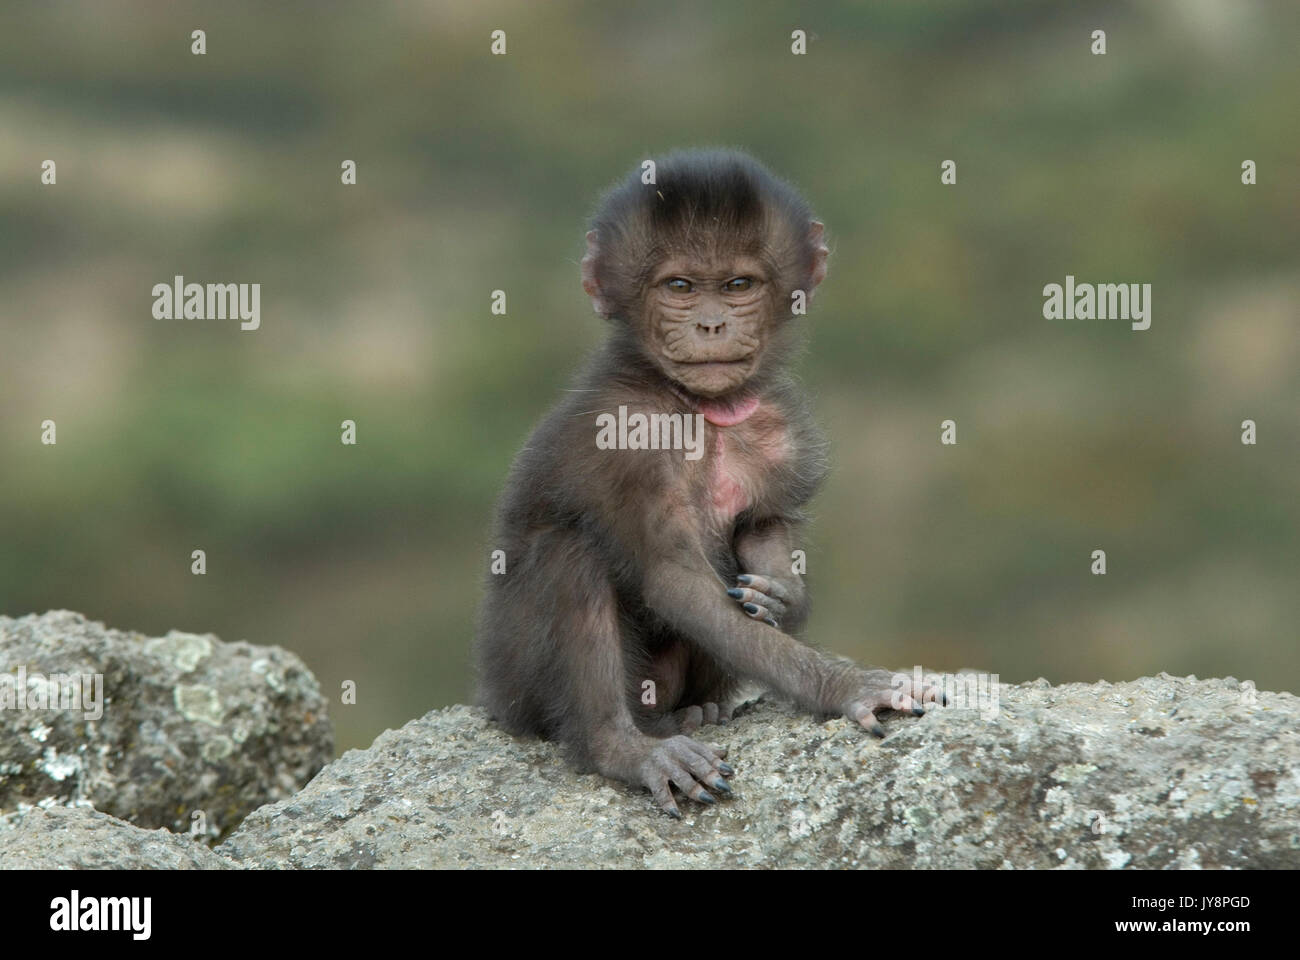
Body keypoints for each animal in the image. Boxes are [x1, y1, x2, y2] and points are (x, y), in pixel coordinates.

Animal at [475, 149, 939, 817]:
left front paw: (780, 599)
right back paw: (624, 748)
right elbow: (678, 584)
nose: (714, 325)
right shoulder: (623, 436)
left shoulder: (778, 429)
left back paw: (698, 712)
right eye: (680, 287)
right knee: (570, 552)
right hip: (517, 686)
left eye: (738, 286)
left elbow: (762, 528)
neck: (693, 406)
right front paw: (847, 684)